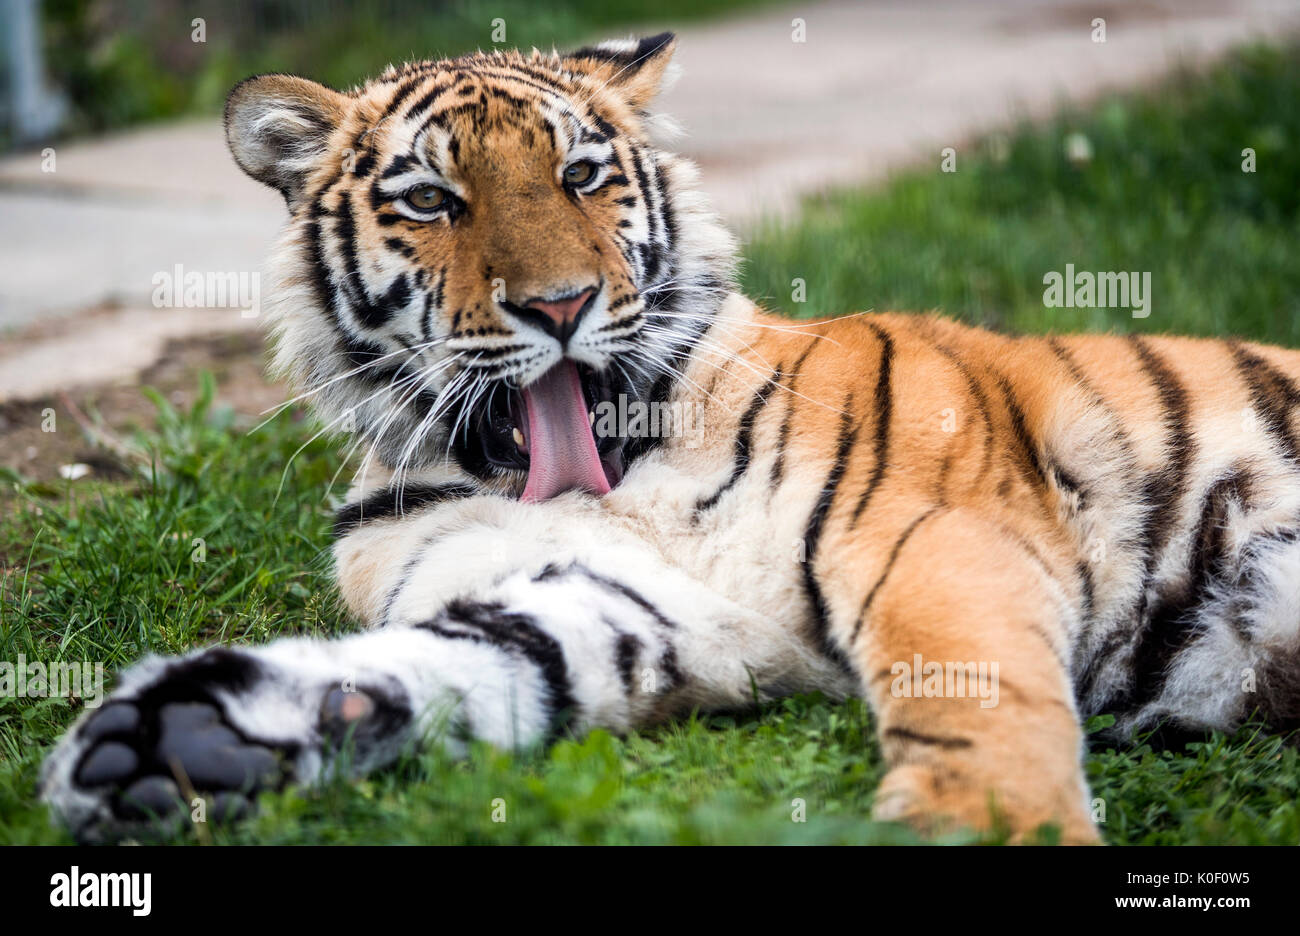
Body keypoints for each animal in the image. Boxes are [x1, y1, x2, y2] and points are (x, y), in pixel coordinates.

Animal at [40, 33, 1300, 845]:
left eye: (580, 176)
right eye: (432, 202)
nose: (558, 306)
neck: (614, 475)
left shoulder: (933, 531)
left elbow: (974, 696)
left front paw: (979, 825)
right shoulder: (657, 608)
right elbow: (476, 659)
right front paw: (178, 742)